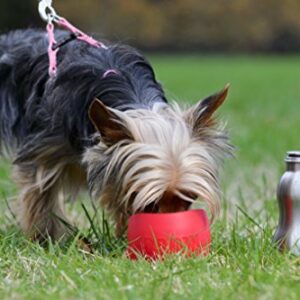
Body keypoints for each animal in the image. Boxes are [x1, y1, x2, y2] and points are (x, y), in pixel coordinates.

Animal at [0, 28, 232, 243]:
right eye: (150, 203)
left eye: (190, 198)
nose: (172, 235)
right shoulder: (43, 152)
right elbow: (41, 194)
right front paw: (48, 239)